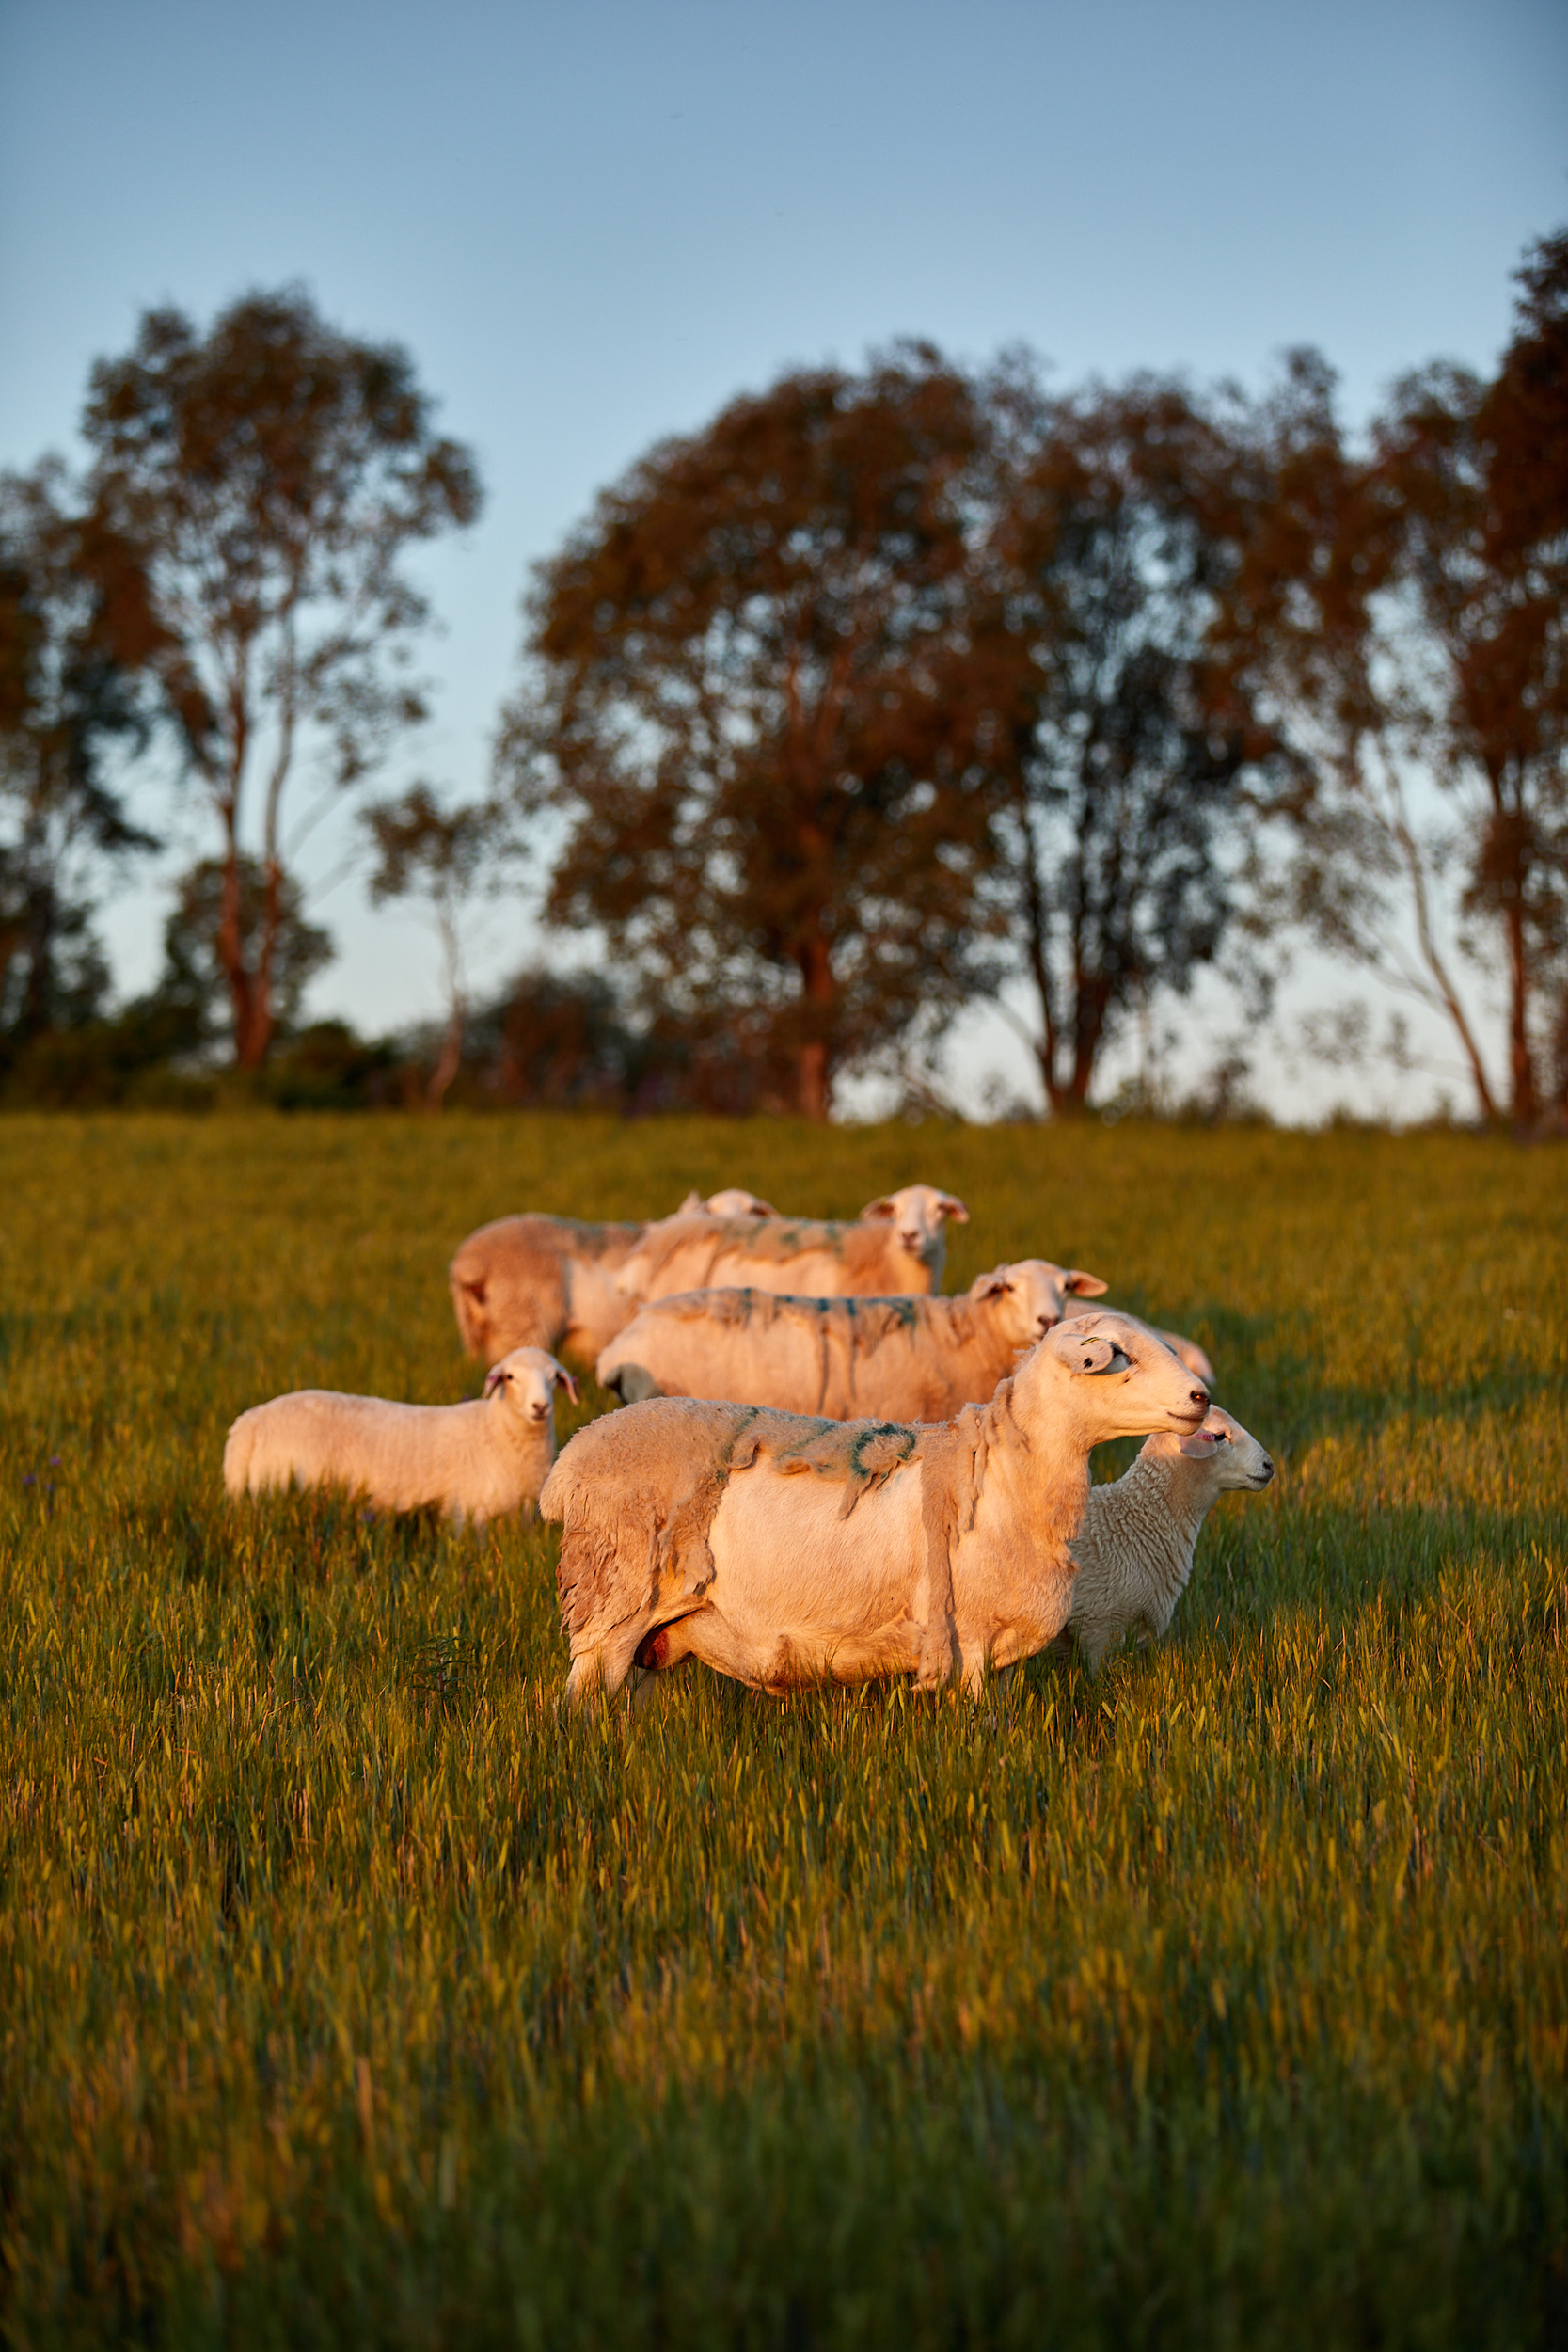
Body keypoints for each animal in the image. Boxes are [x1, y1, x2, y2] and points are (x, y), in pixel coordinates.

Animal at [223, 1346, 579, 1526]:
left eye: (554, 1377)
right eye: (510, 1377)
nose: (540, 1406)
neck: (493, 1431)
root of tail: (248, 1423)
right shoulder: (468, 1511)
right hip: (276, 1487)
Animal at [540, 1310, 1210, 1701]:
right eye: (1121, 1355)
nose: (1201, 1397)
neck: (1007, 1474)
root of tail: (570, 1461)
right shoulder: (968, 1636)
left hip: (650, 1631)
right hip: (613, 1601)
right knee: (583, 1702)